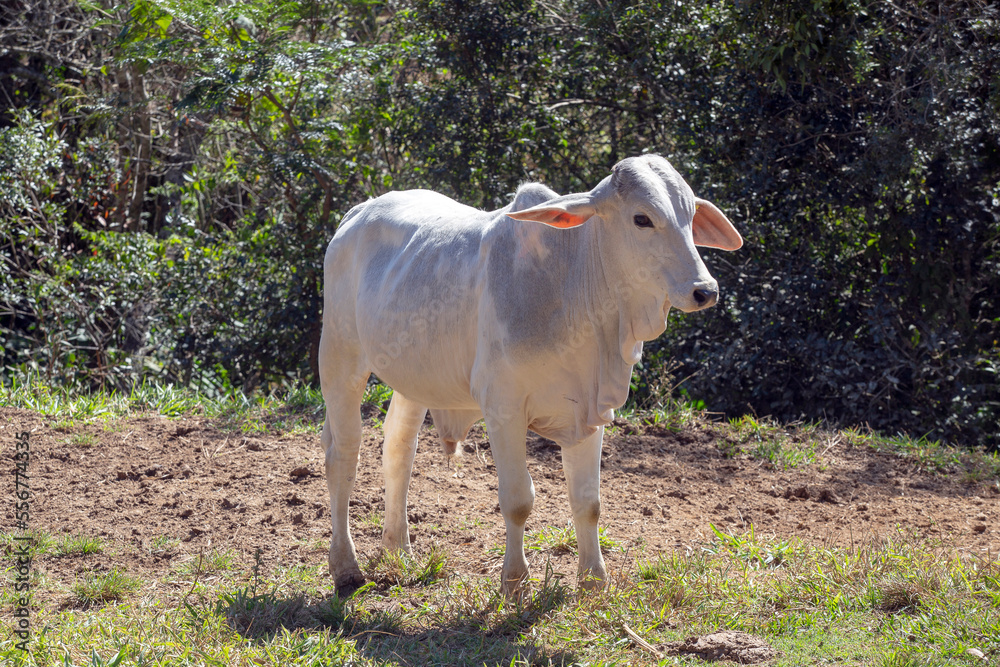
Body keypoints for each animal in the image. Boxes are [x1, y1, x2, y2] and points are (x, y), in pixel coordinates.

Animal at [318, 154, 742, 595]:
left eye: (690, 216)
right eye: (642, 219)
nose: (705, 290)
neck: (573, 288)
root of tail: (358, 212)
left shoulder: (591, 410)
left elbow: (588, 502)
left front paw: (594, 580)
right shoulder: (503, 408)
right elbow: (518, 500)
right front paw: (514, 581)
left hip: (416, 378)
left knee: (398, 449)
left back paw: (398, 549)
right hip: (340, 359)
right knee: (342, 456)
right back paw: (345, 565)